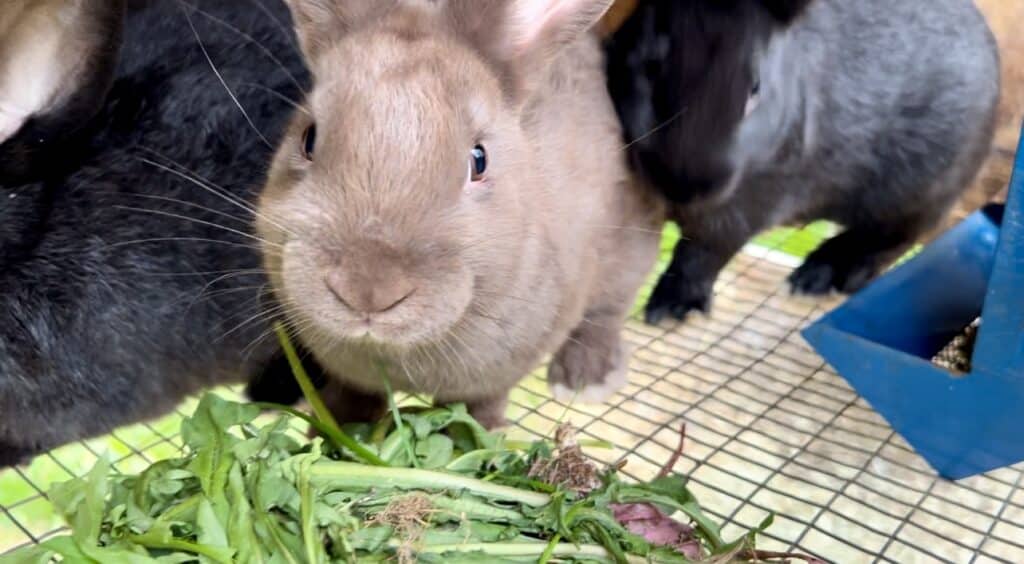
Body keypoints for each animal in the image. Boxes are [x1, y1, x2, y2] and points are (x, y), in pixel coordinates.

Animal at [256, 0, 665, 429]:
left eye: (479, 159)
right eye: (308, 138)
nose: (366, 290)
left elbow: (481, 404)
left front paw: (479, 433)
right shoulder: (351, 376)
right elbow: (354, 396)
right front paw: (338, 431)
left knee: (608, 310)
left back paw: (585, 378)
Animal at [603, 0, 1001, 324]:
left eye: (755, 88)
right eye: (651, 67)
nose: (687, 185)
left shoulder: (750, 203)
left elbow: (701, 254)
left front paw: (670, 309)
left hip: (918, 195)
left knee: (888, 242)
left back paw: (818, 277)